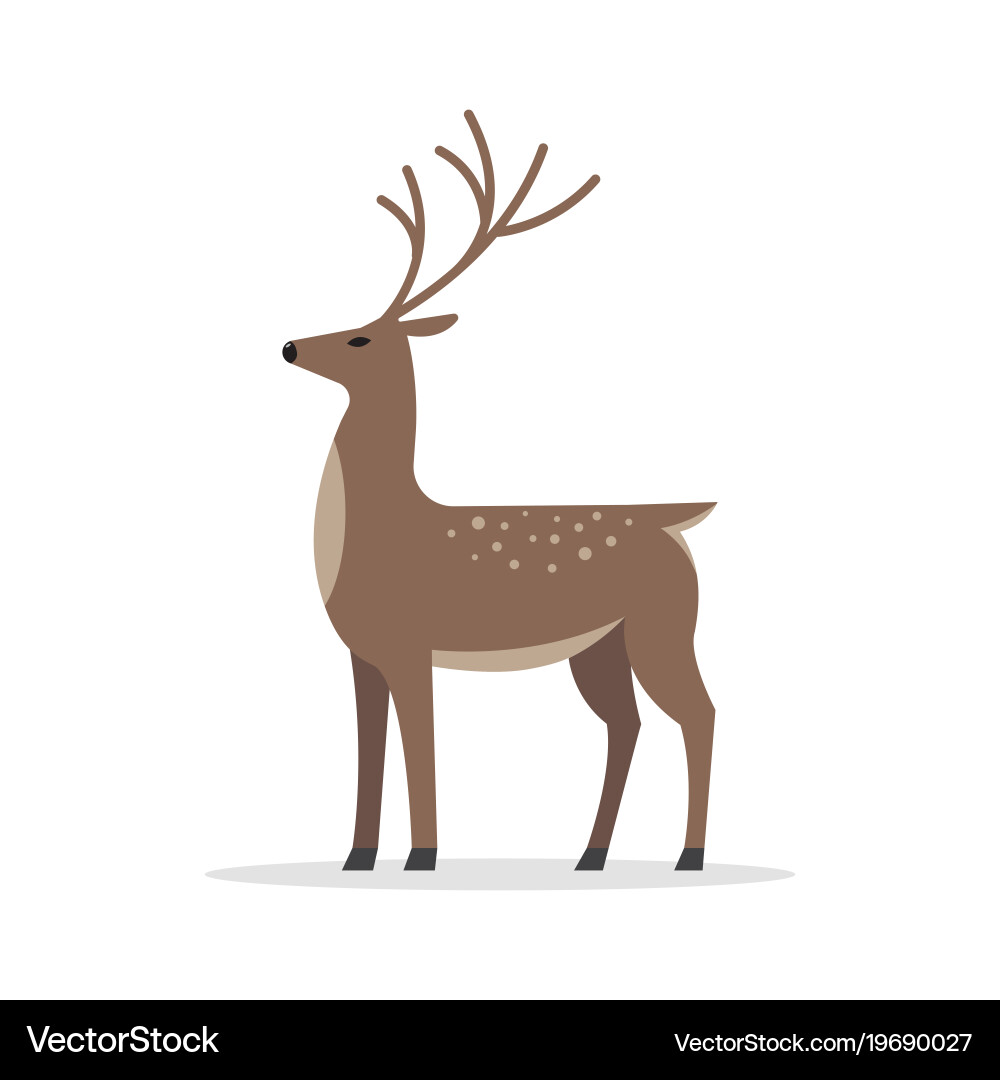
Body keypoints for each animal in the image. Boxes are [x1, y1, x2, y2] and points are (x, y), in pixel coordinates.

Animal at [282, 111, 716, 873]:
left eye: (361, 338)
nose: (290, 347)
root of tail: (680, 523)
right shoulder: (362, 653)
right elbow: (369, 751)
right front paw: (358, 856)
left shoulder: (410, 643)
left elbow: (419, 747)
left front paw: (422, 857)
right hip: (599, 646)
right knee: (628, 723)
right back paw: (590, 855)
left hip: (665, 625)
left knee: (700, 712)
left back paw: (688, 856)